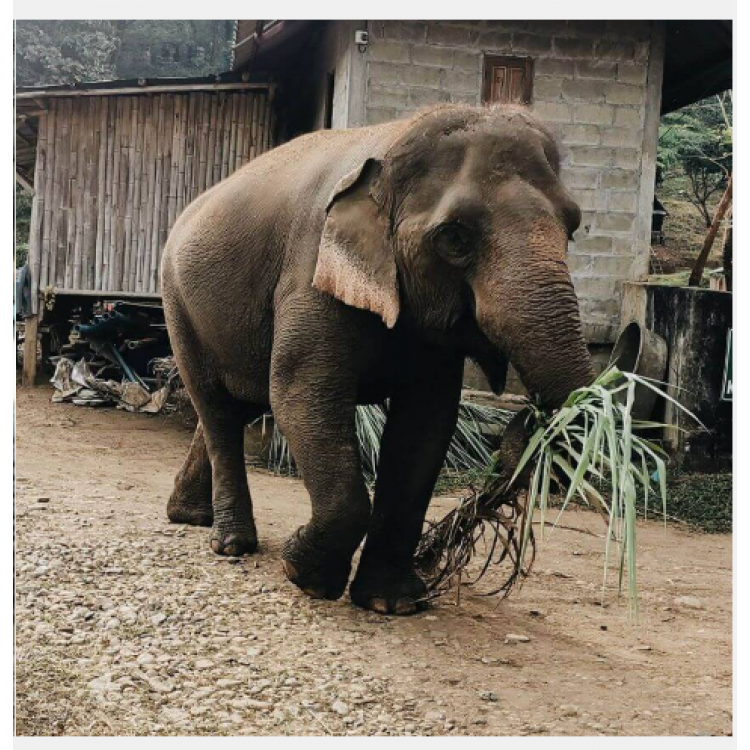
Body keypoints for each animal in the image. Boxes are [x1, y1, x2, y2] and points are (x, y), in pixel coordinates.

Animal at [161, 103, 595, 616]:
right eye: (454, 238)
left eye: (573, 225)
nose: (528, 416)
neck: (394, 144)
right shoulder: (309, 268)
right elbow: (300, 394)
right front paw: (303, 573)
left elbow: (425, 425)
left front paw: (395, 603)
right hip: (178, 304)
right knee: (217, 407)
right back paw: (230, 544)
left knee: (236, 407)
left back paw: (188, 516)